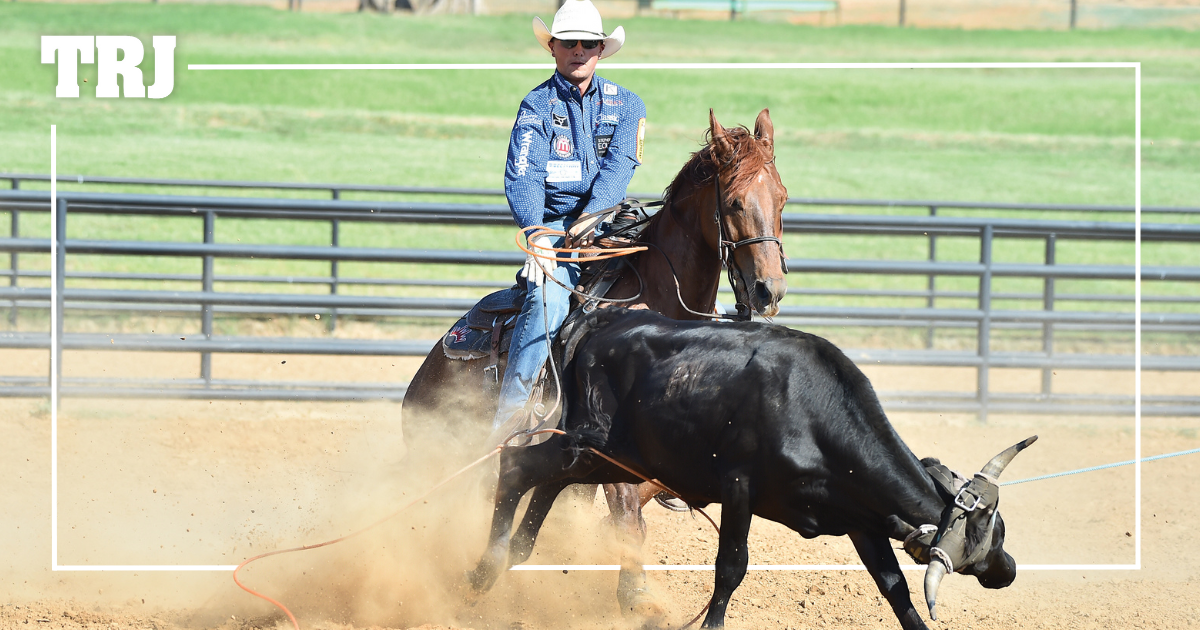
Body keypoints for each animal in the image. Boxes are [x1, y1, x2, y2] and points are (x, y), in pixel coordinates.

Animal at [400, 108, 789, 618]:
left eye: (782, 198)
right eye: (738, 202)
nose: (769, 290)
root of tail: (426, 371)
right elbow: (626, 520)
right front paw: (637, 599)